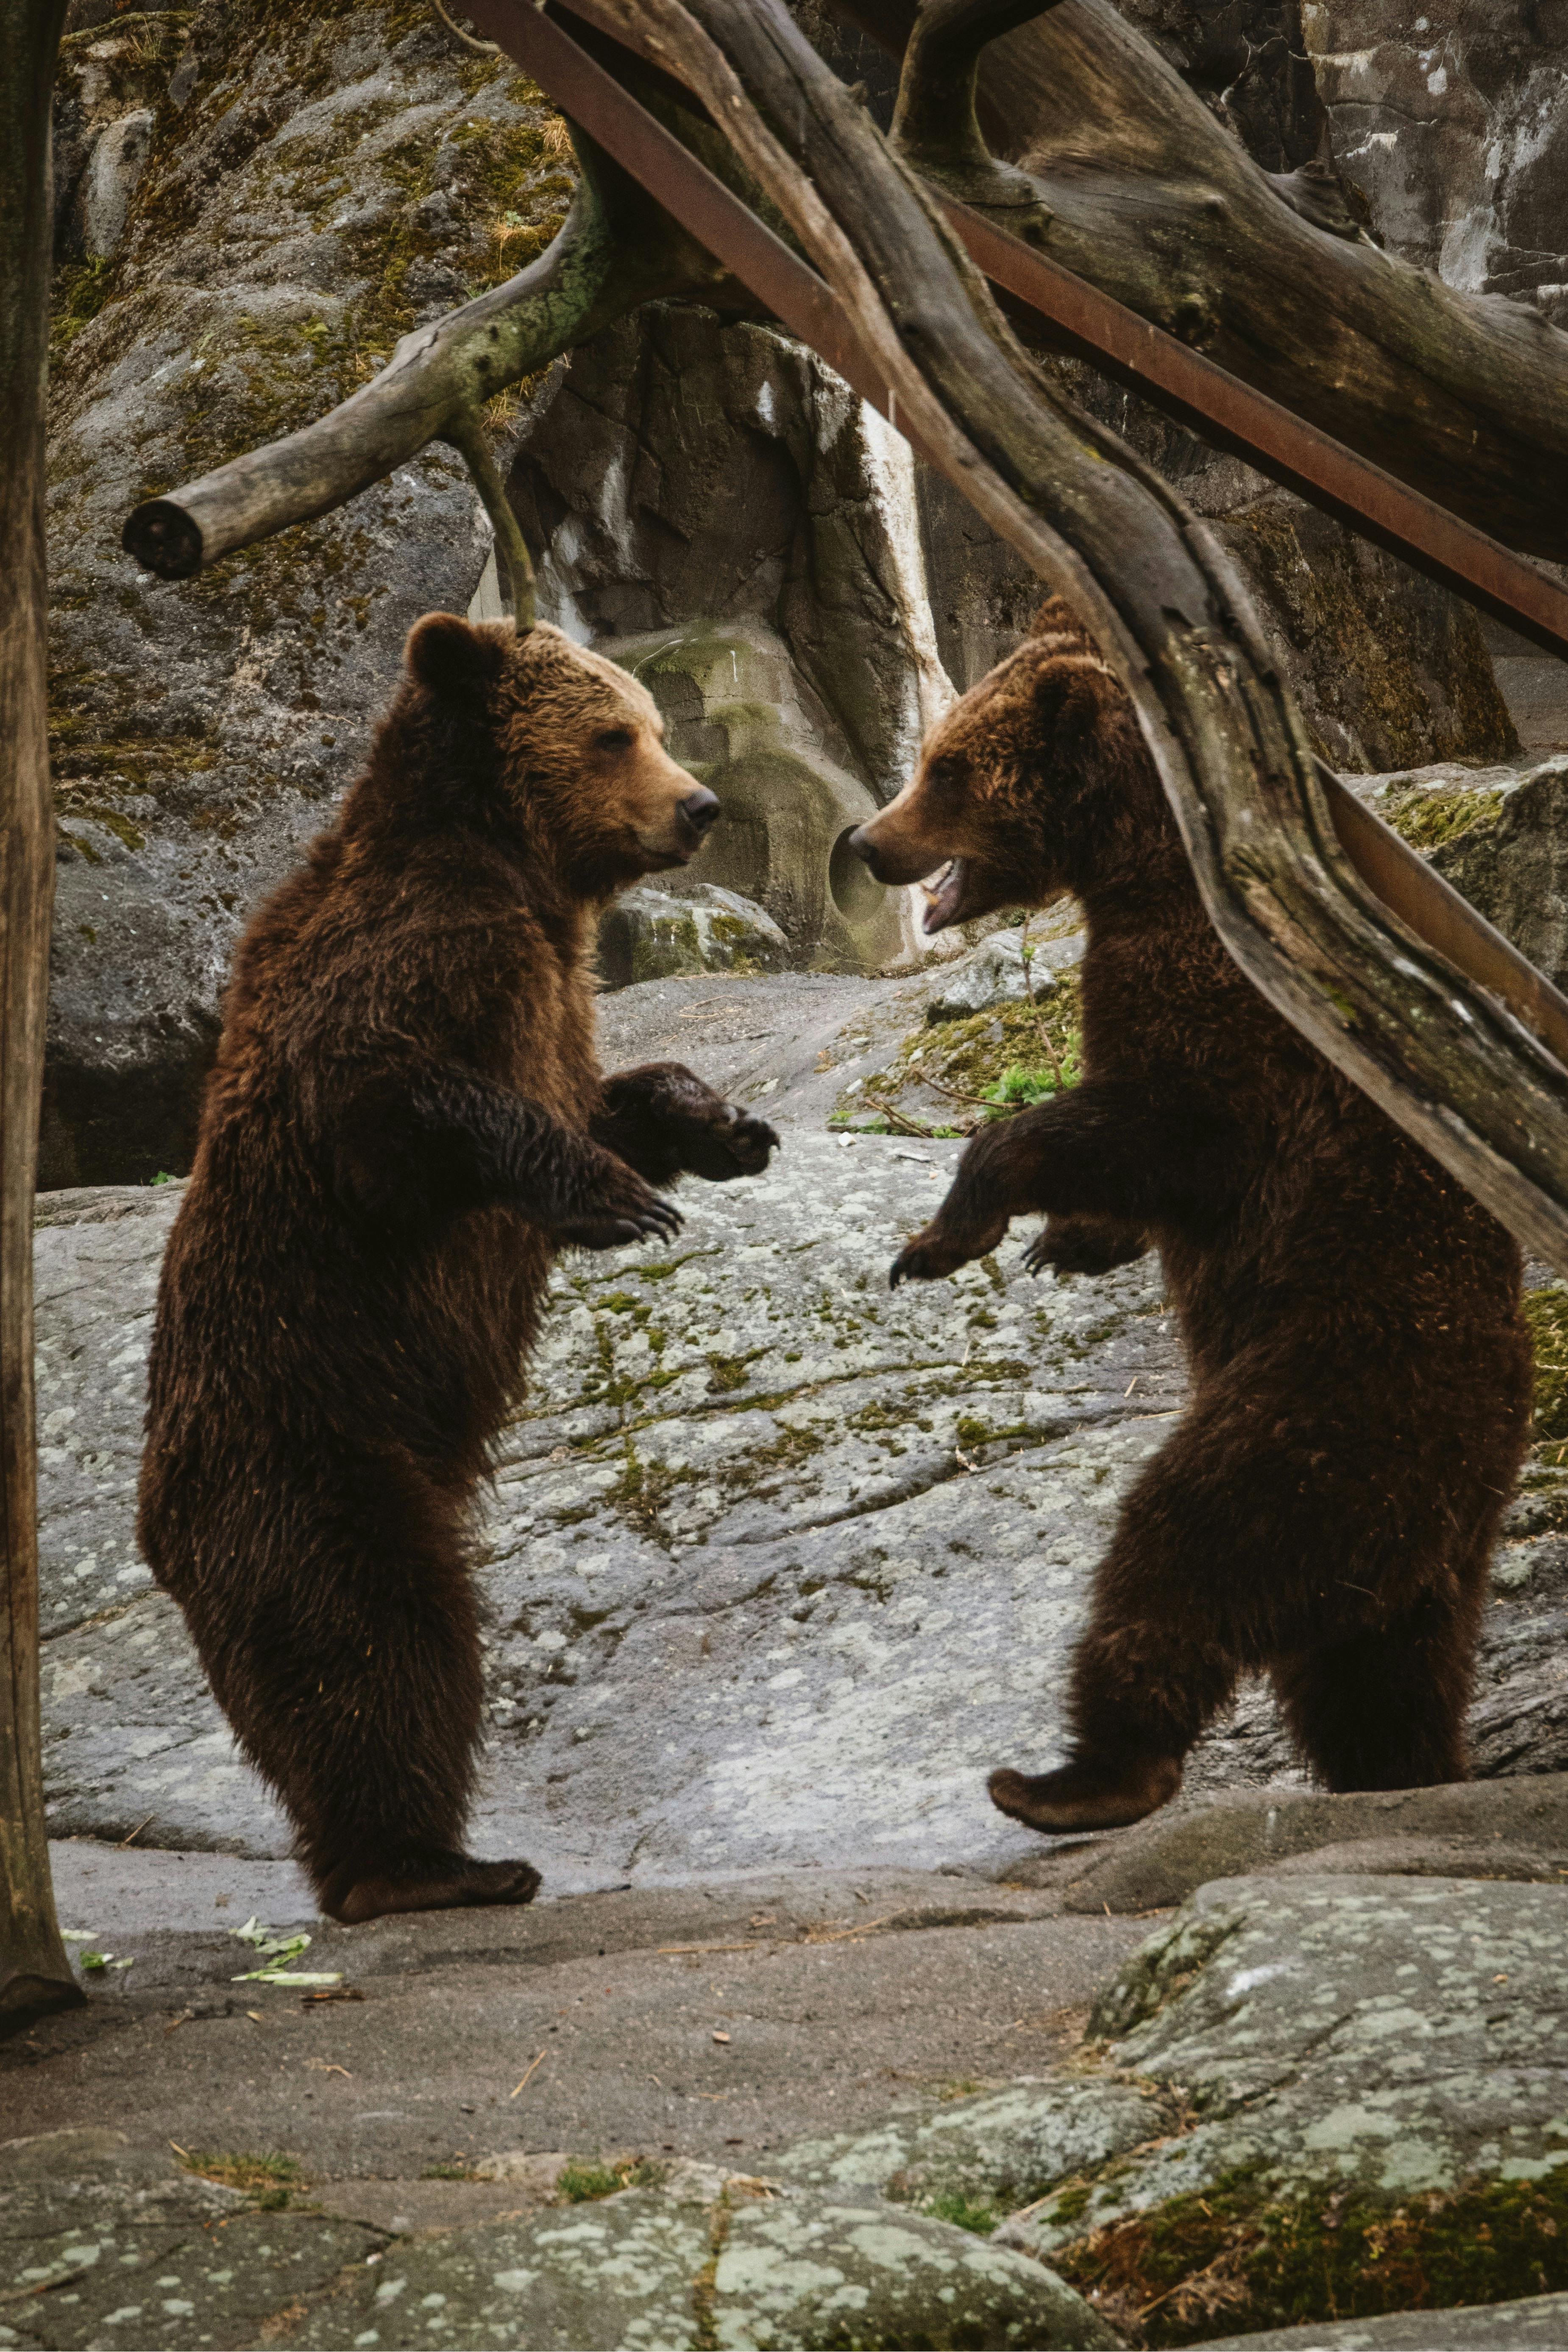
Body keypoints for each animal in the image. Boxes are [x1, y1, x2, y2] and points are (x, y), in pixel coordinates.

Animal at [138, 614, 778, 1924]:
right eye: (614, 732)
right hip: (306, 1445)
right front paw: (619, 1204)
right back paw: (431, 1862)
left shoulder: (554, 994)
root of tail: (155, 1523)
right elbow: (391, 1095)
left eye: (655, 721)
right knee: (375, 1637)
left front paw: (723, 1128)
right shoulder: (413, 961)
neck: (516, 868)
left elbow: (608, 1091)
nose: (697, 805)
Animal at [849, 597, 1532, 1831]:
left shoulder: (1225, 1023)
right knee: (1382, 1684)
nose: (868, 841)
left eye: (945, 768)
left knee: (1175, 1558)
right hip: (1420, 1560)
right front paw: (1069, 1244)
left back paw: (1068, 1780)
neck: (1138, 869)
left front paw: (942, 1237)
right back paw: (1402, 1771)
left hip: (1315, 1412)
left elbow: (1146, 1132)